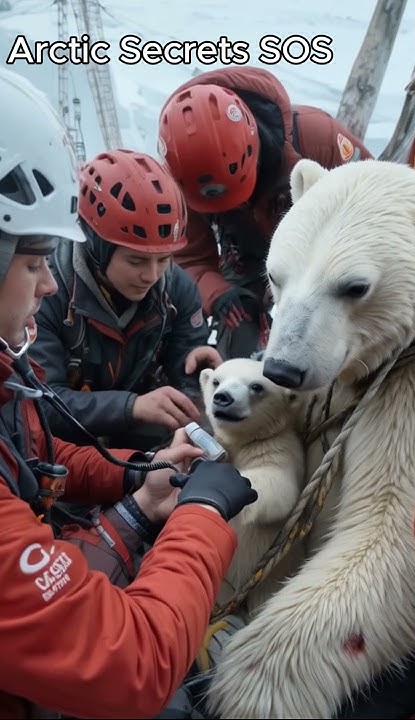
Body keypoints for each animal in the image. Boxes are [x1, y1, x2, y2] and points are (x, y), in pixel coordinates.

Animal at [200, 357, 305, 616]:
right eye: (216, 380)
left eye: (257, 386)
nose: (222, 397)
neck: (243, 441)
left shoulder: (277, 447)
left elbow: (278, 487)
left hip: (272, 577)